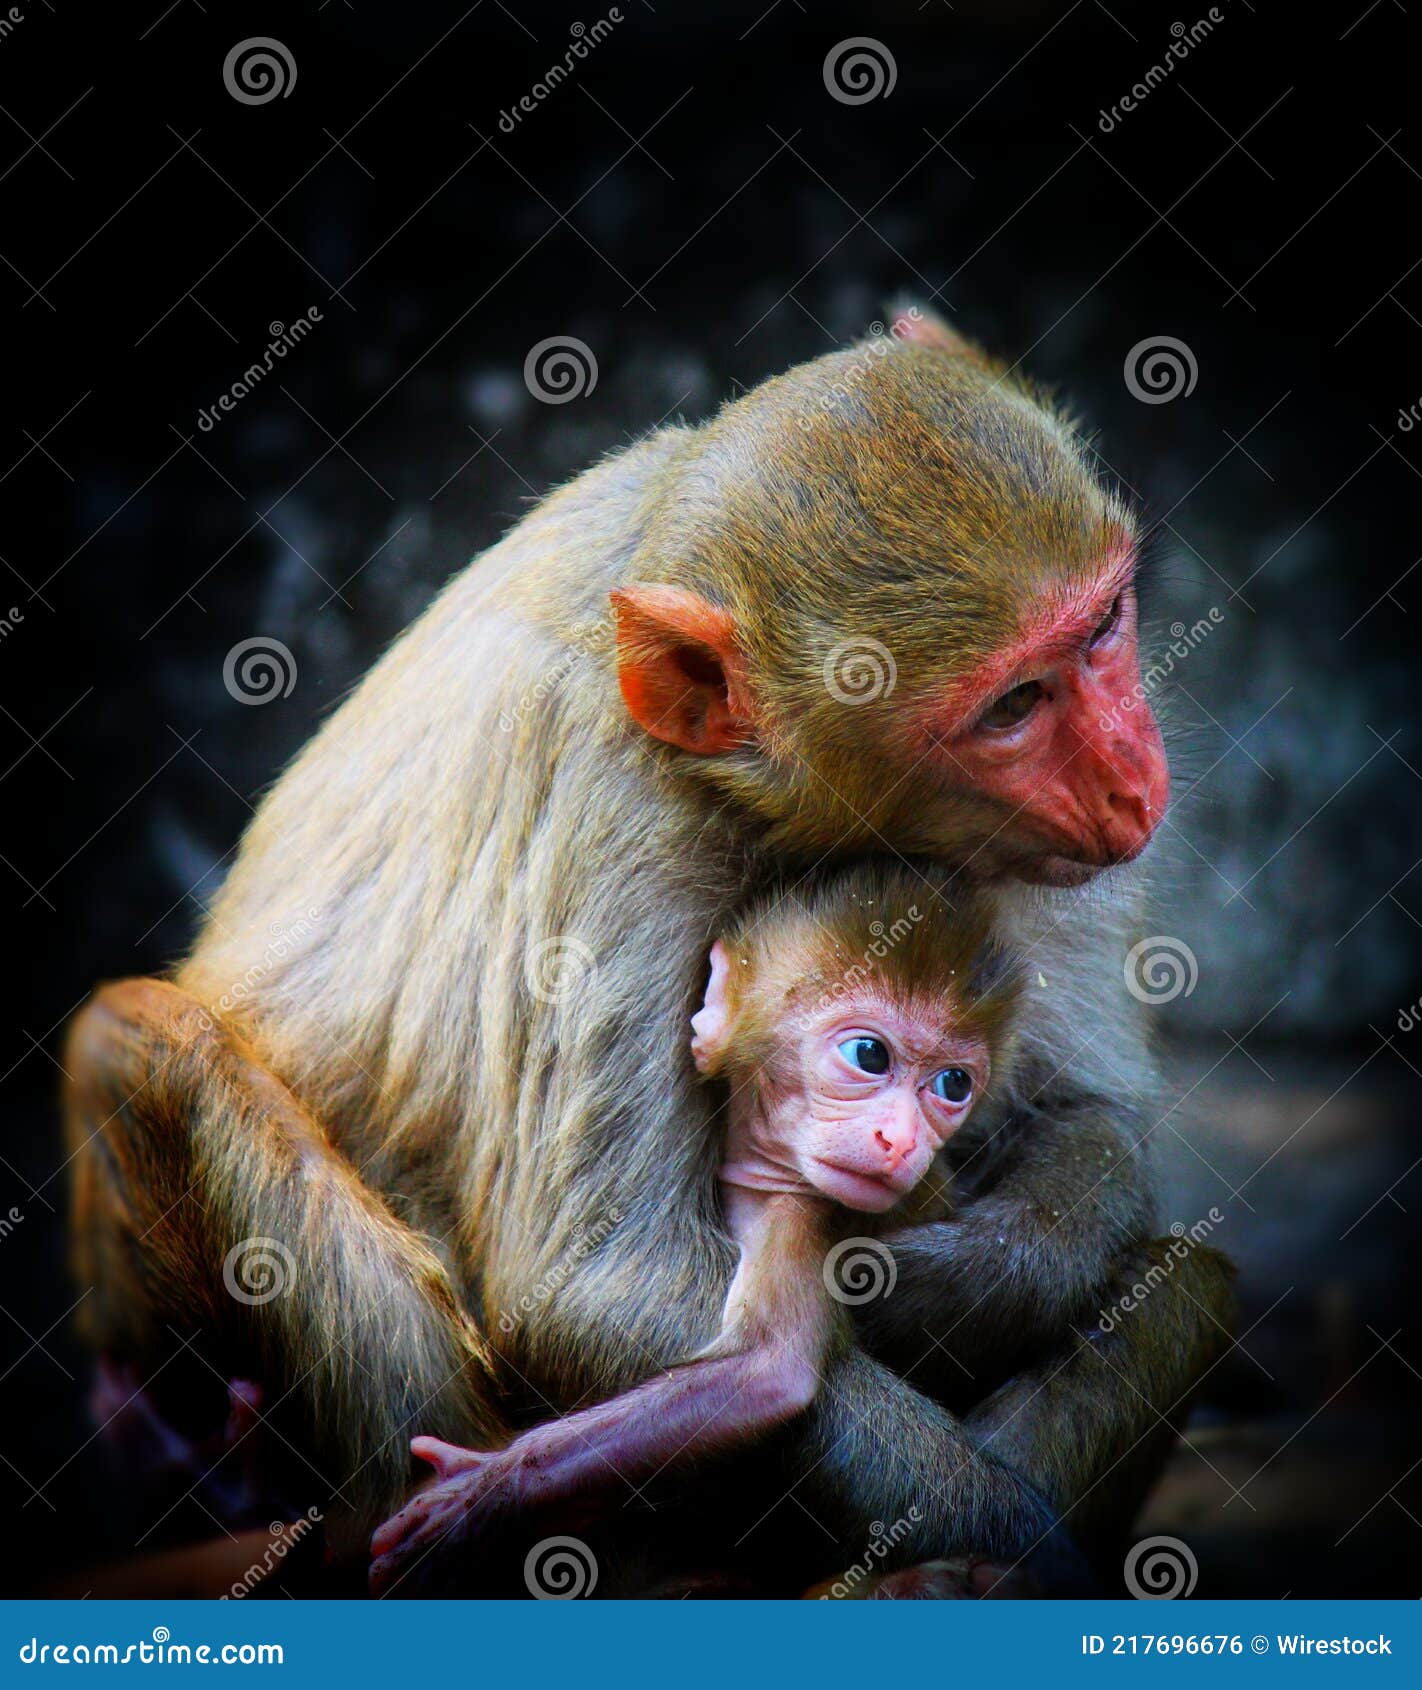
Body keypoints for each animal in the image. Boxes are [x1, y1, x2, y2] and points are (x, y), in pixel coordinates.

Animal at [368, 864, 1024, 1593]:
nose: (903, 1140)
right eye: (869, 1055)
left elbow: (765, 1374)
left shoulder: (801, 1214)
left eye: (953, 1084)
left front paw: (479, 1499)